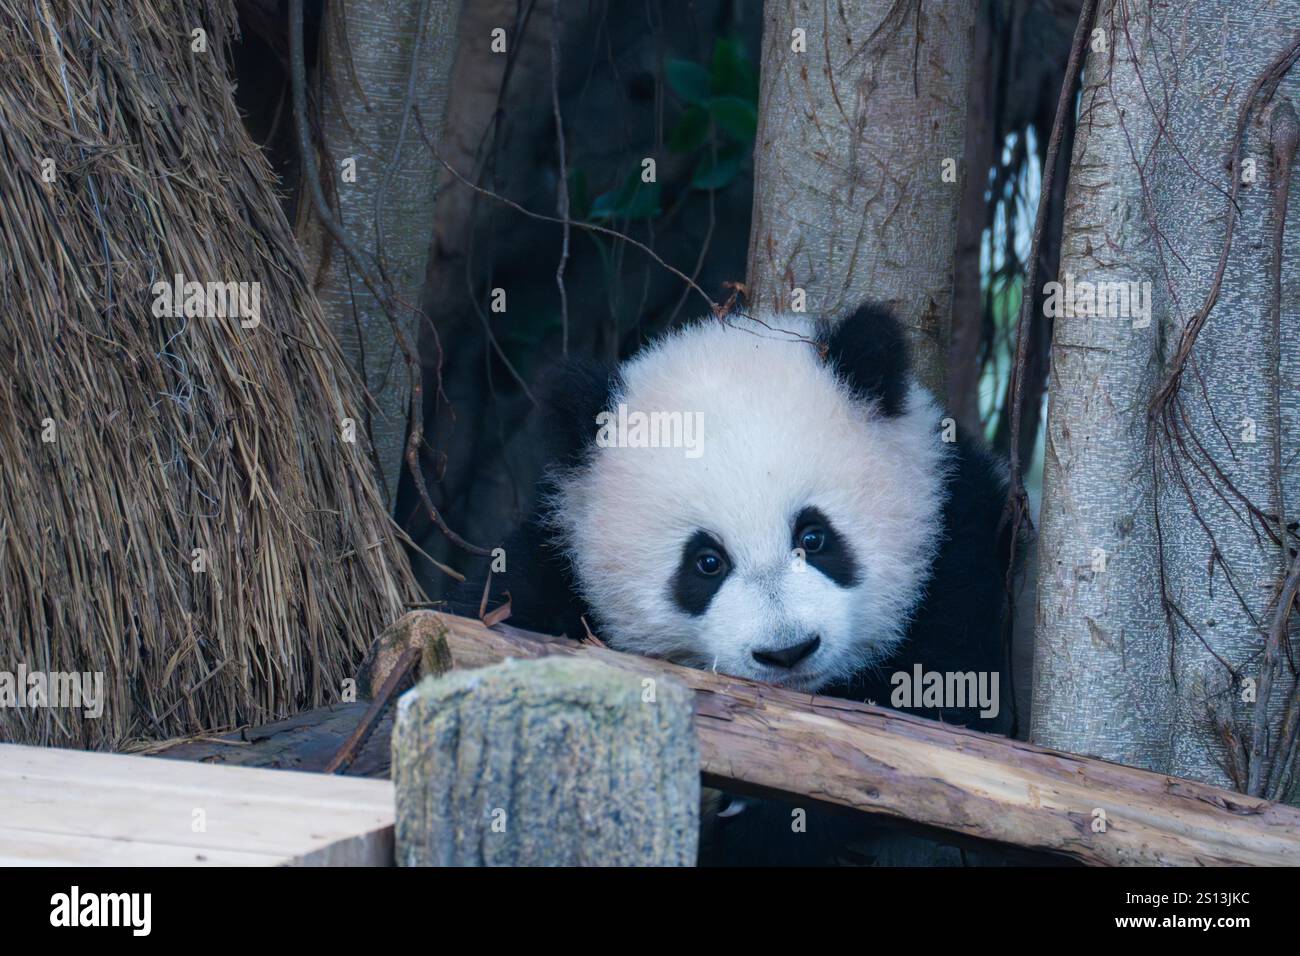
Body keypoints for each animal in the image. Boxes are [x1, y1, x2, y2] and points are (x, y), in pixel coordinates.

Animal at [455, 302, 1014, 865]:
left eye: (814, 537)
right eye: (707, 562)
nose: (788, 651)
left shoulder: (958, 541)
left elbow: (942, 706)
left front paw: (759, 815)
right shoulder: (556, 557)